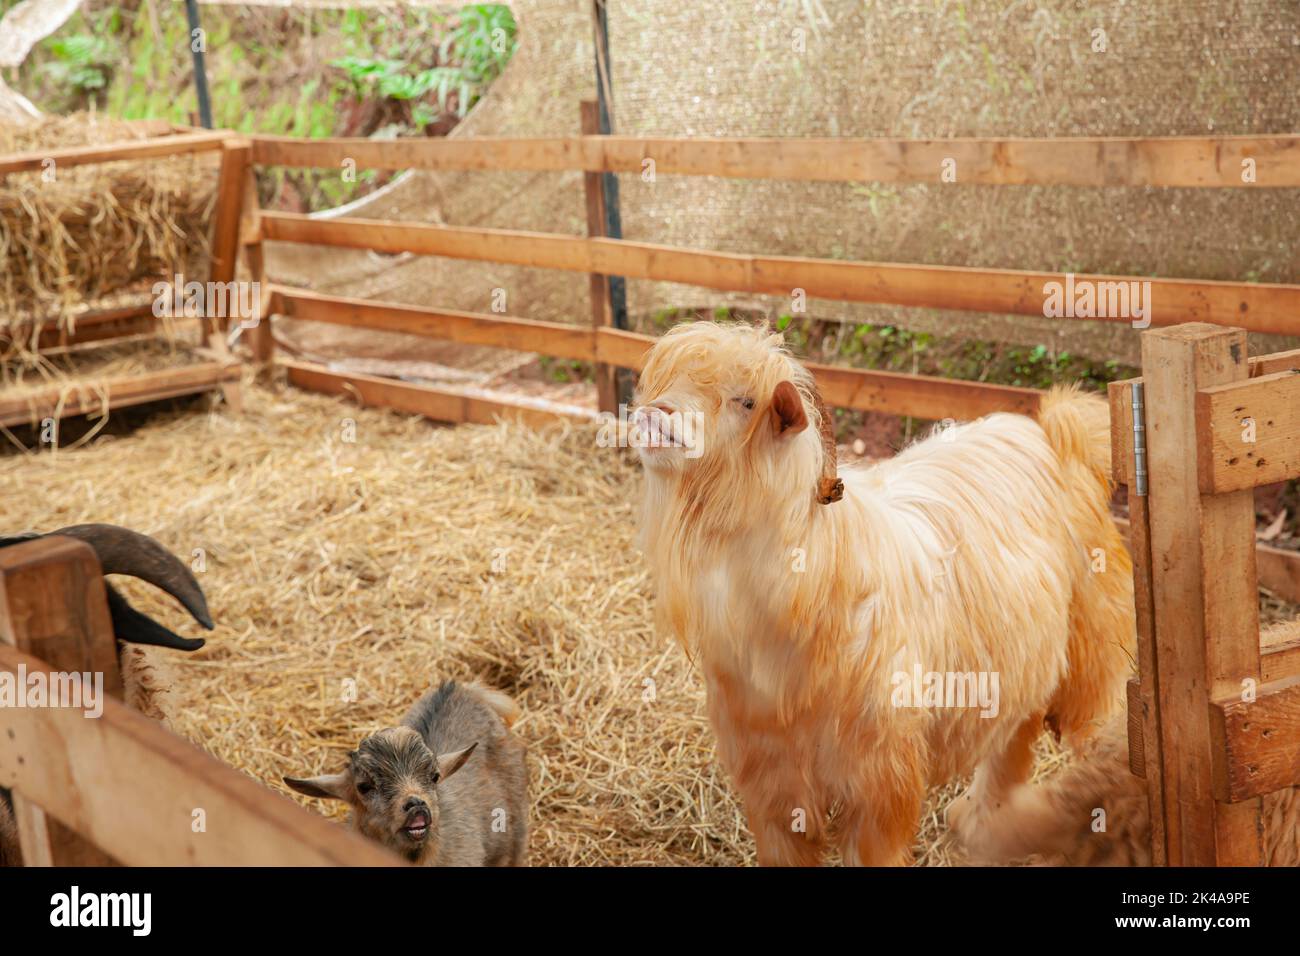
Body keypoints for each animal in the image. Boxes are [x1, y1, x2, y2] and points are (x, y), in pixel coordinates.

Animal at [631, 321, 1134, 865]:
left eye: (746, 401)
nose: (655, 416)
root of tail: (1050, 434)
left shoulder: (879, 787)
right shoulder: (772, 785)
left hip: (1092, 660)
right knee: (1015, 739)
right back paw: (985, 821)